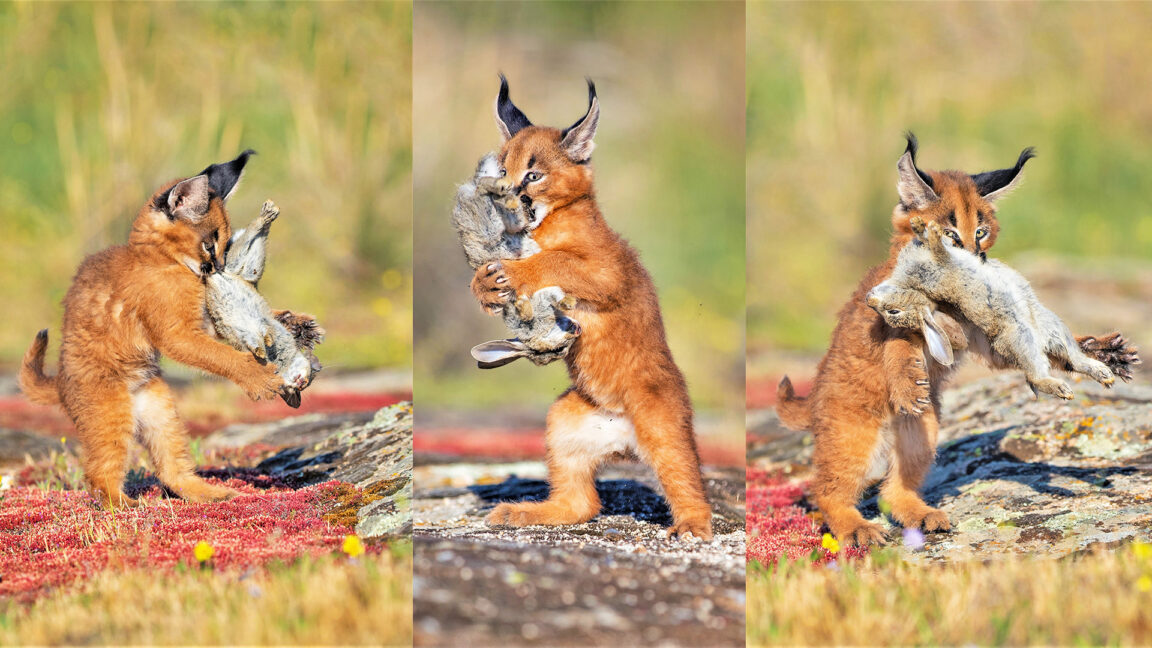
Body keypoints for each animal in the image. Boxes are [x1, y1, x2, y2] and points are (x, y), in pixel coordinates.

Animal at [205, 200, 324, 408]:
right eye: (307, 381)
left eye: (303, 388)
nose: (300, 384)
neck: (282, 361)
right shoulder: (253, 332)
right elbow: (260, 336)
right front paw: (265, 344)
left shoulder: (251, 331)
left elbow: (258, 335)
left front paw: (263, 345)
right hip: (240, 266)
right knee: (247, 239)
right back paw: (266, 215)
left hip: (245, 269)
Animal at [451, 152, 581, 368]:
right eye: (556, 351)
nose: (577, 331)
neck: (537, 331)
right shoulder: (544, 299)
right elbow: (545, 300)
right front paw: (524, 308)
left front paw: (568, 302)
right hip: (505, 222)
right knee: (488, 192)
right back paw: (504, 190)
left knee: (485, 189)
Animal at [867, 216, 1117, 400]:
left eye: (892, 312)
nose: (870, 300)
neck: (911, 287)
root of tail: (1040, 341)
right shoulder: (941, 265)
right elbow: (939, 249)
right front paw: (928, 228)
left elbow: (938, 243)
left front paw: (921, 225)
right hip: (1023, 340)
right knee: (1039, 375)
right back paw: (1064, 389)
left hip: (1054, 327)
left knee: (1075, 360)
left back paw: (1105, 375)